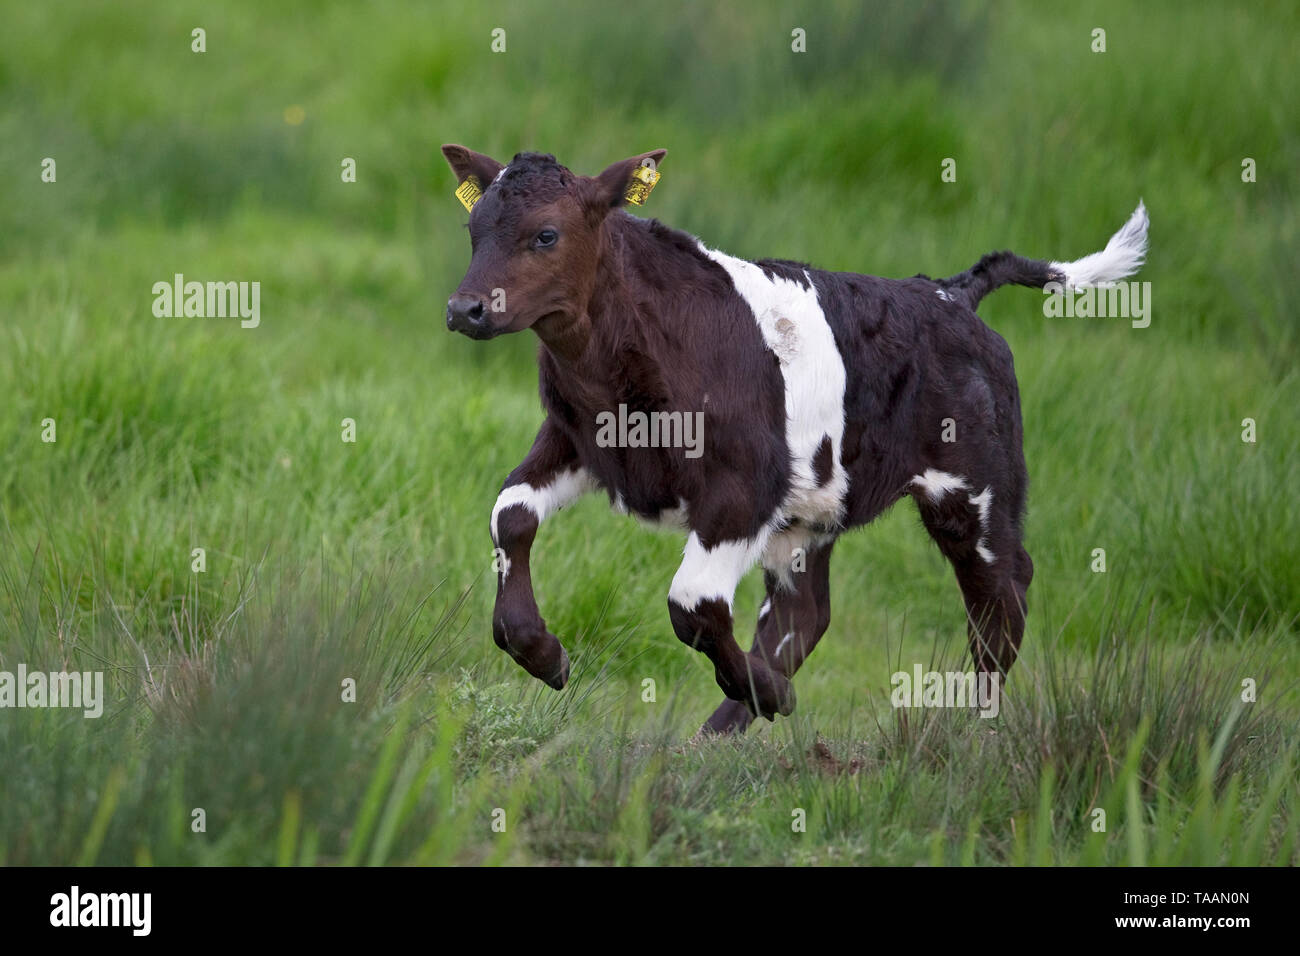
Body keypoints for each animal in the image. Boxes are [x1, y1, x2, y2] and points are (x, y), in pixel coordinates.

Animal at [440, 144, 1148, 735]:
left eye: (546, 234)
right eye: (474, 231)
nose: (464, 309)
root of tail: (951, 292)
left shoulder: (747, 485)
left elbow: (692, 602)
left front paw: (772, 696)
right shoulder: (579, 442)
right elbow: (510, 513)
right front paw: (543, 654)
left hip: (976, 486)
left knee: (1001, 589)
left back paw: (979, 734)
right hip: (812, 511)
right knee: (804, 612)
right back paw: (715, 737)